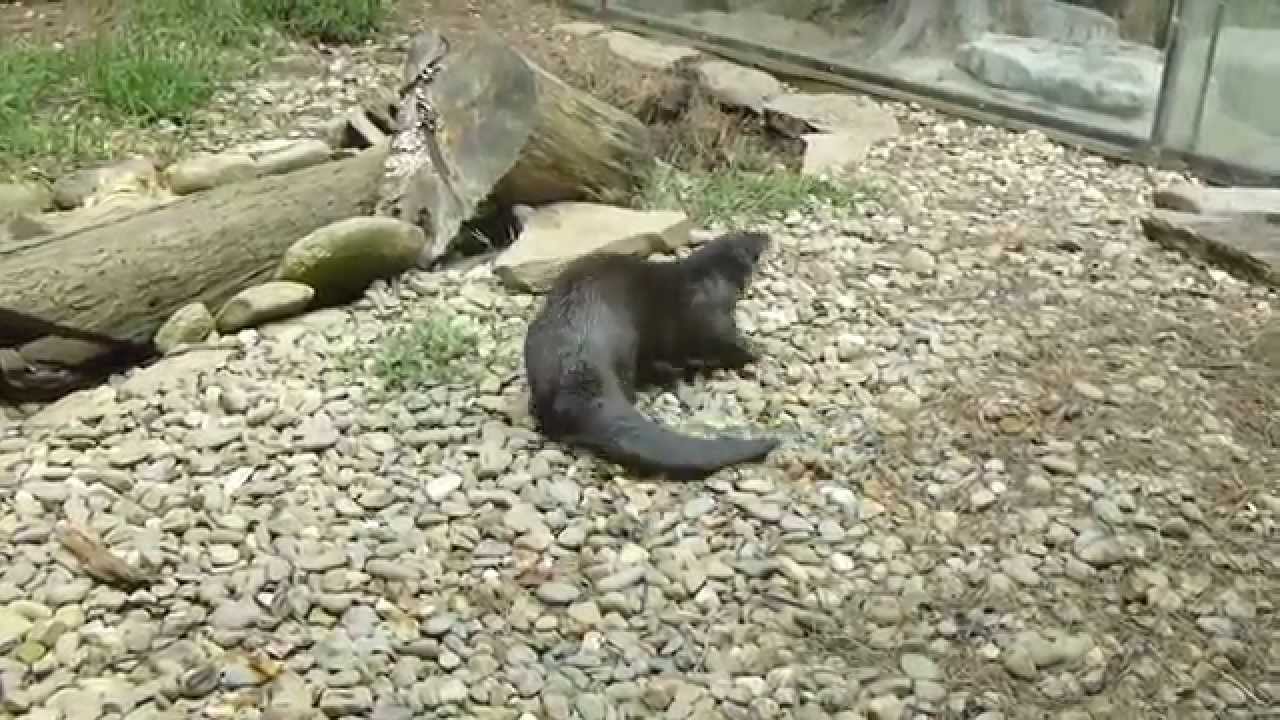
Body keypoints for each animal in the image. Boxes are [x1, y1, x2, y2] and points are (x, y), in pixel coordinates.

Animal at [523, 229, 780, 479]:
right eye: (754, 237)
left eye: (749, 231)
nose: (767, 235)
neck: (714, 279)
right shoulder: (709, 315)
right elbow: (724, 343)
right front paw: (755, 351)